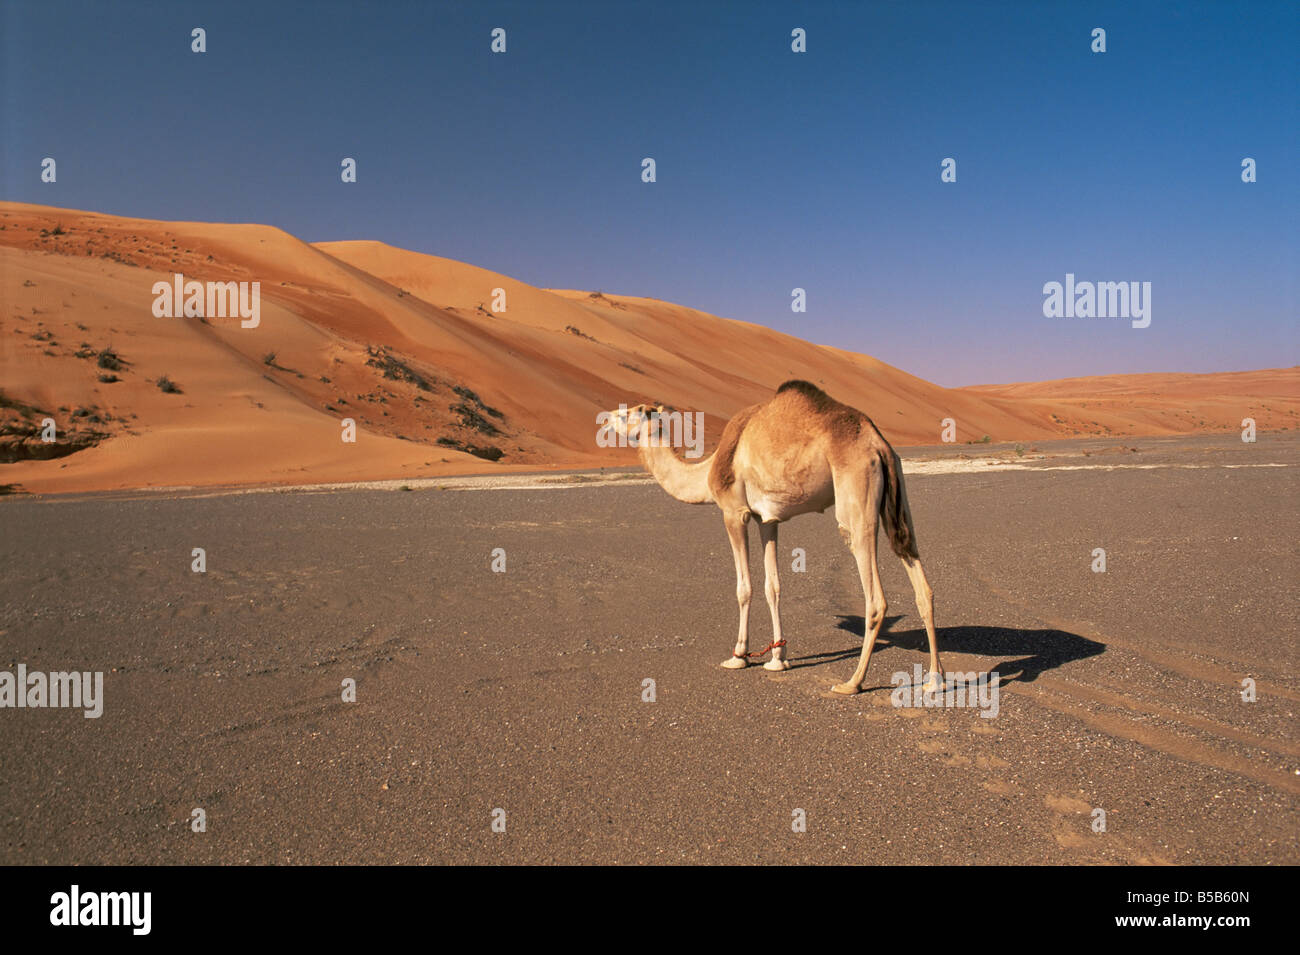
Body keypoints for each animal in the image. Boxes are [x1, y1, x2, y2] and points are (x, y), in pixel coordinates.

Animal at [606, 380, 943, 695]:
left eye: (629, 413)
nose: (605, 419)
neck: (708, 471)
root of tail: (878, 445)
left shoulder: (735, 512)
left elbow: (744, 587)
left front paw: (738, 655)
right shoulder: (766, 519)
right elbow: (773, 586)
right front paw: (778, 657)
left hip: (856, 498)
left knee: (875, 597)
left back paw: (853, 682)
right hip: (897, 499)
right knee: (920, 581)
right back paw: (934, 679)